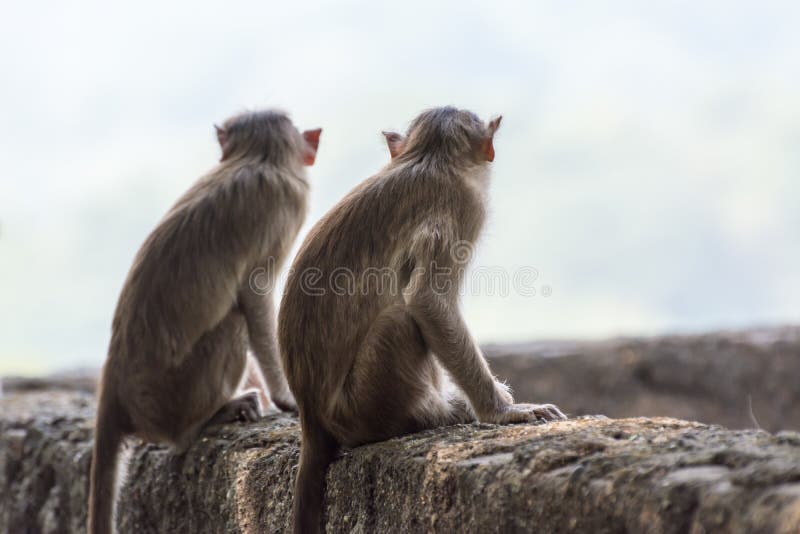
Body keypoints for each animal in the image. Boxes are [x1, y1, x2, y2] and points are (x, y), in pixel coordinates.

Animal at [88, 110, 321, 534]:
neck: (258, 156)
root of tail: (112, 387)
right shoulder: (285, 206)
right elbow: (254, 297)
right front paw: (286, 399)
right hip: (177, 396)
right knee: (233, 324)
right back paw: (210, 418)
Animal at [278, 107, 566, 533]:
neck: (428, 156)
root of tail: (311, 417)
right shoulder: (464, 207)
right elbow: (427, 301)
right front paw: (501, 412)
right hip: (371, 399)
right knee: (400, 319)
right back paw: (441, 412)